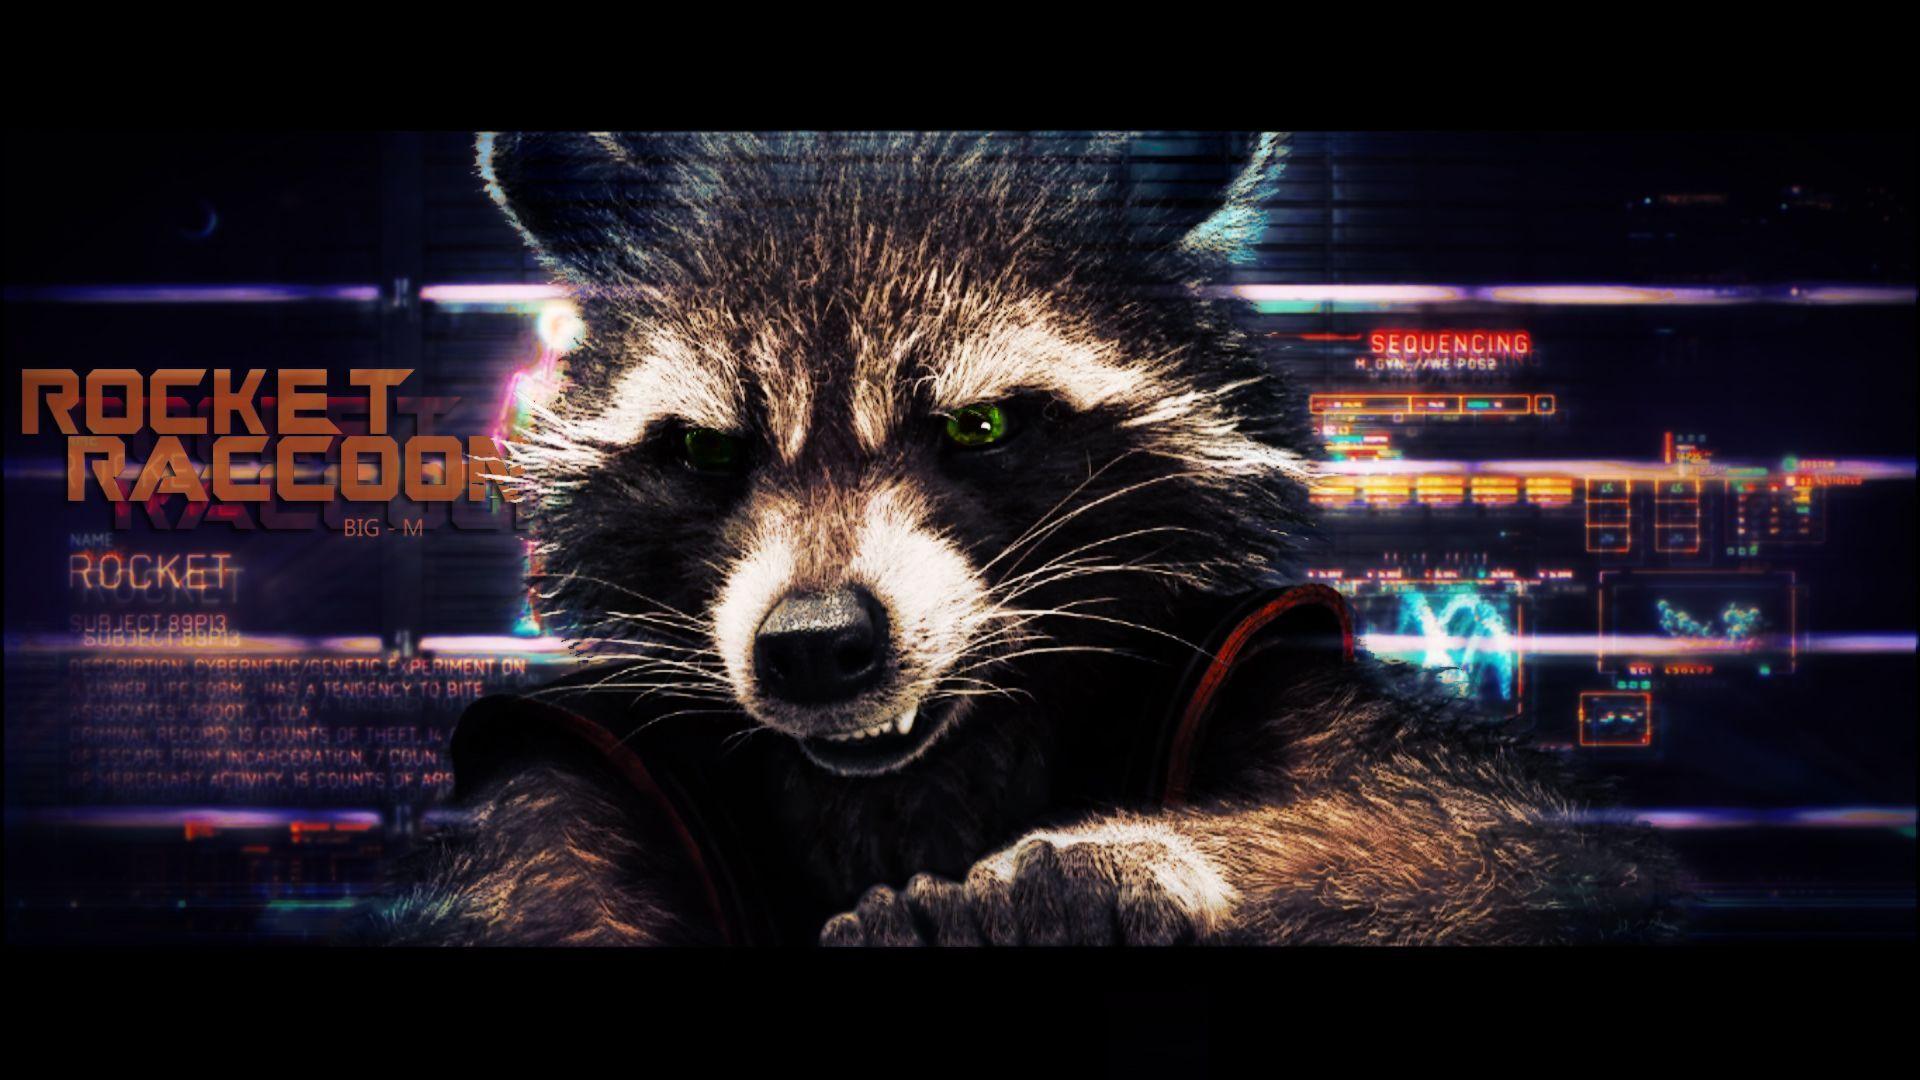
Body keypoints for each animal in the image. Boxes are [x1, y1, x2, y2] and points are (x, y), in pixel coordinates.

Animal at [366, 132, 1679, 946]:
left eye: (978, 426)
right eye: (706, 452)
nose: (814, 646)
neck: (914, 777)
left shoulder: (1260, 651)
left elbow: (1551, 861)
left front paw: (1139, 861)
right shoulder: (566, 771)